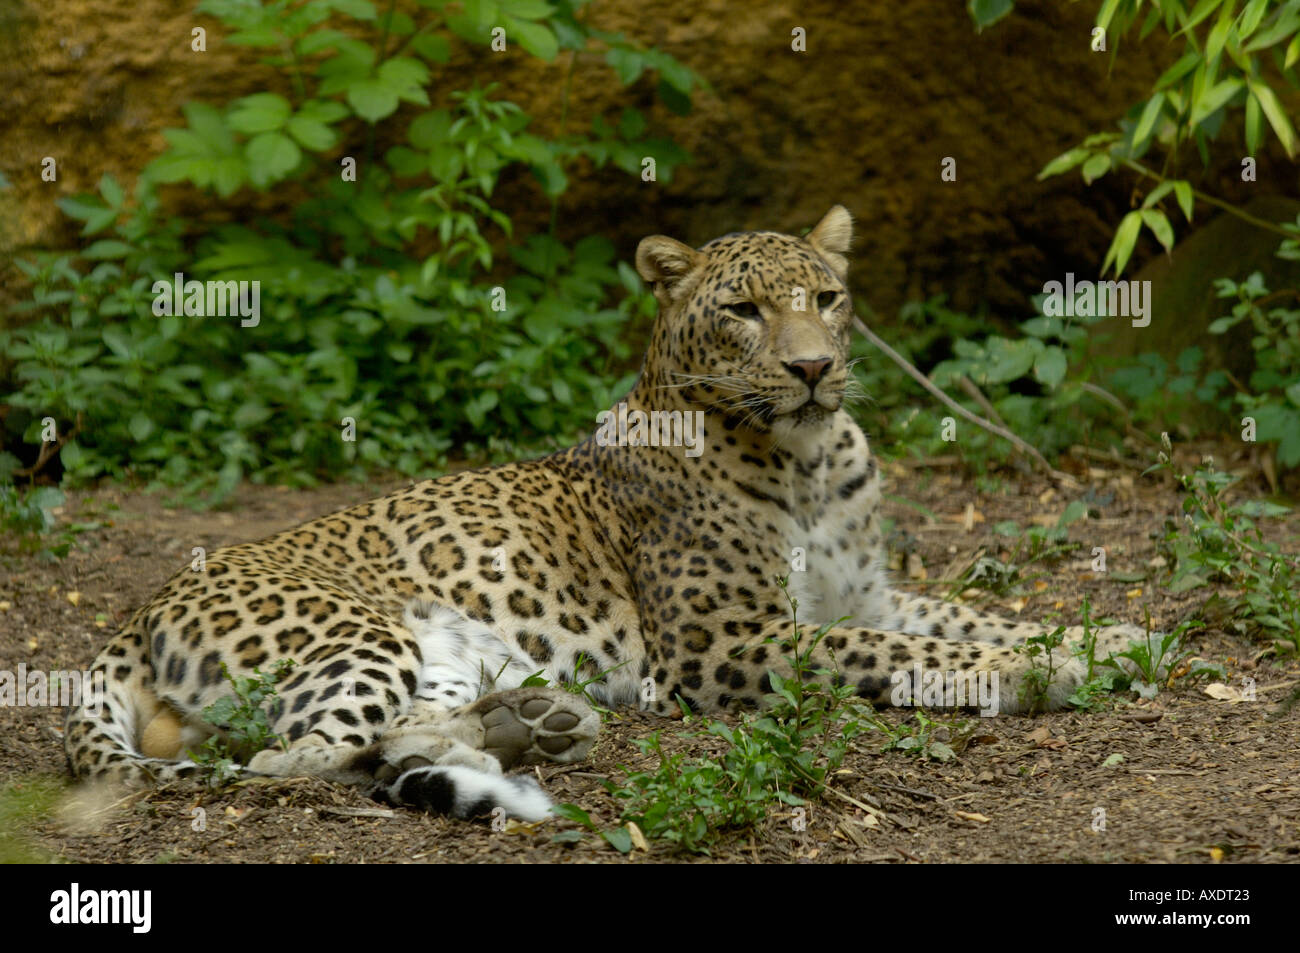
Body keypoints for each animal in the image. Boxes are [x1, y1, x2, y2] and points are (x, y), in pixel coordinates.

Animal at [64, 205, 1153, 820]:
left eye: (826, 297)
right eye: (744, 311)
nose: (813, 368)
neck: (807, 457)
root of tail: (136, 610)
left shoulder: (867, 594)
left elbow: (965, 616)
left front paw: (1107, 638)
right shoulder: (728, 644)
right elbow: (899, 653)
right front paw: (1035, 671)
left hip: (439, 648)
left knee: (379, 732)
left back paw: (531, 725)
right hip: (359, 630)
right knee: (287, 757)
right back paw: (504, 744)